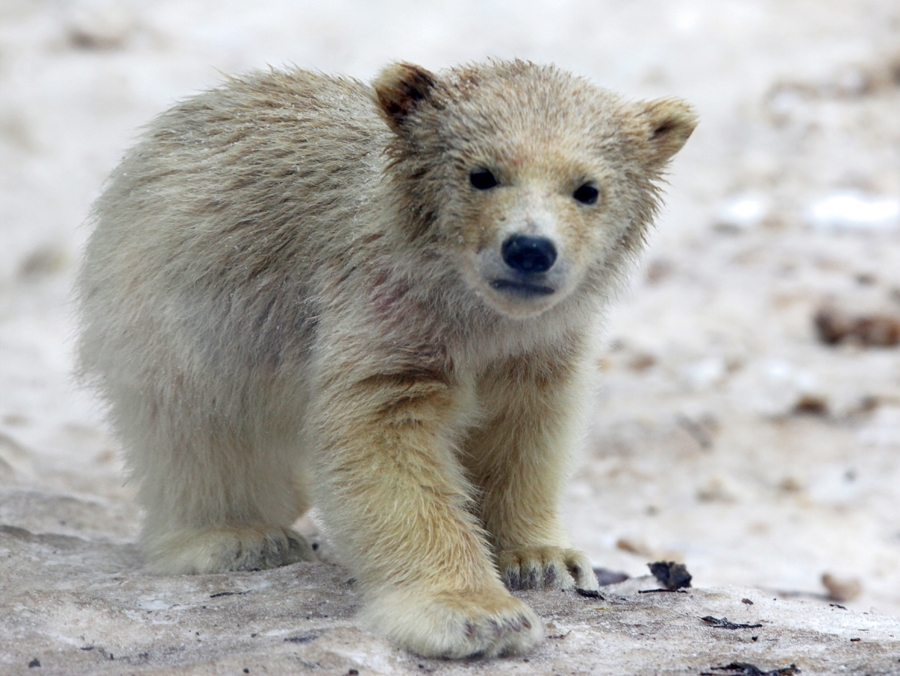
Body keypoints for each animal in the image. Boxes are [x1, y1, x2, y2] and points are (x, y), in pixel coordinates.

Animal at [76, 59, 696, 658]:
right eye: (481, 174)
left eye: (587, 189)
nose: (529, 249)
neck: (469, 310)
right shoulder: (383, 313)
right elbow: (385, 444)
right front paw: (476, 617)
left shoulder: (534, 348)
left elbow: (521, 432)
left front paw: (545, 561)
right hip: (184, 310)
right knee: (197, 427)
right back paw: (240, 537)